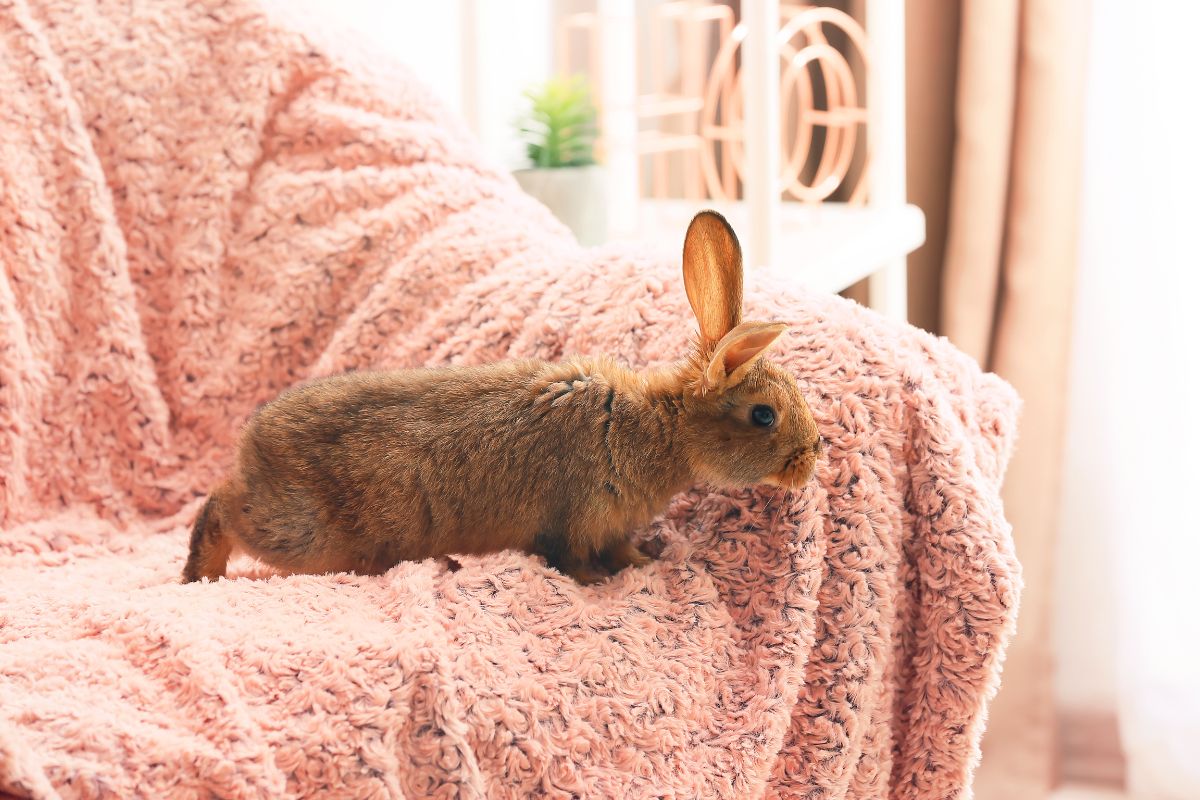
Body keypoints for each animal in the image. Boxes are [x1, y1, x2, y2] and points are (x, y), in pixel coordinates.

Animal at [182, 210, 821, 585]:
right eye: (763, 415)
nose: (812, 458)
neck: (657, 426)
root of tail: (251, 445)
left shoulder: (611, 524)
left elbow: (620, 550)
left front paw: (643, 561)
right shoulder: (576, 518)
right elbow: (573, 560)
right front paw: (604, 581)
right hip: (303, 533)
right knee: (218, 509)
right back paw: (198, 576)